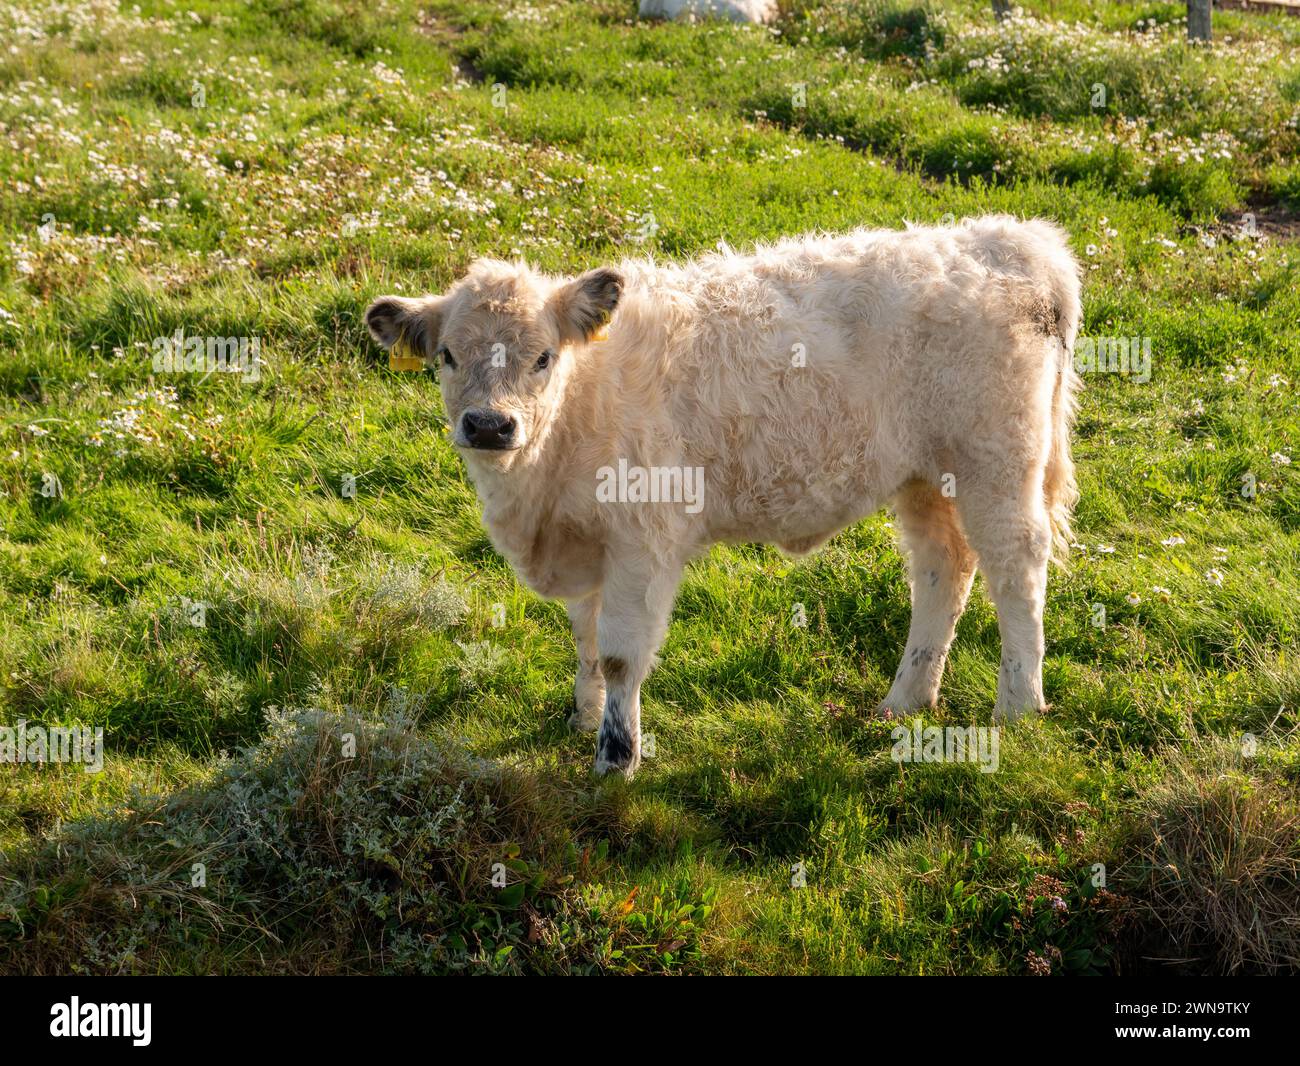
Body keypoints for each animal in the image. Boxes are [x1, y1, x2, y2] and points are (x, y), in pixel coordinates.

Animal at [365, 215, 1082, 779]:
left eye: (543, 357)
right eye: (447, 356)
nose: (489, 425)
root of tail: (1012, 237)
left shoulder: (642, 542)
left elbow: (621, 654)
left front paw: (615, 760)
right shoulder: (588, 546)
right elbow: (586, 640)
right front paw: (583, 718)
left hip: (998, 463)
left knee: (1017, 569)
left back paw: (1018, 705)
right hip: (927, 478)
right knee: (943, 570)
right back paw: (905, 700)